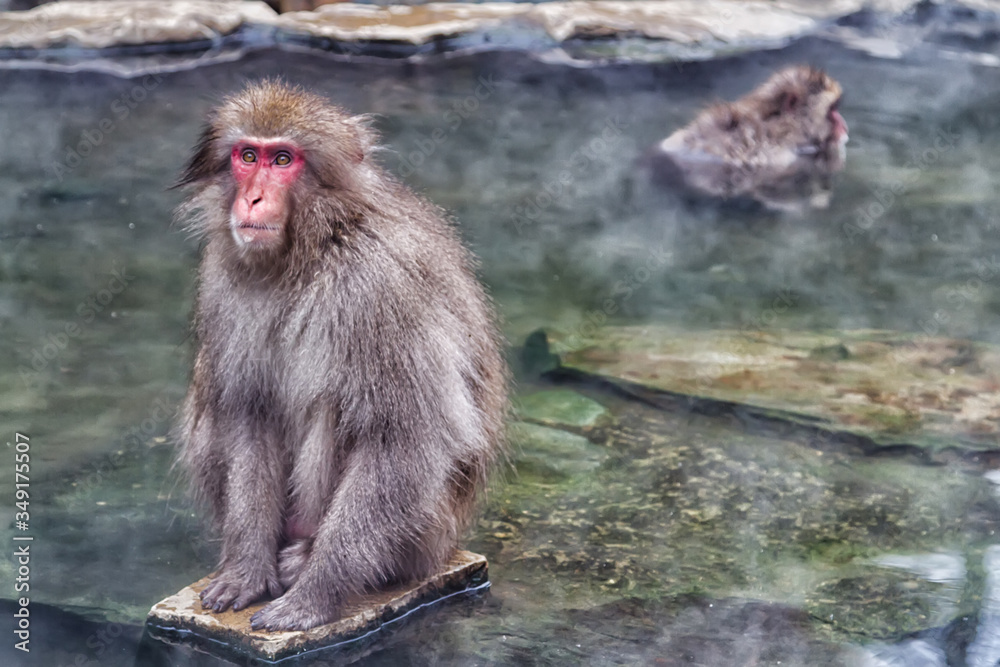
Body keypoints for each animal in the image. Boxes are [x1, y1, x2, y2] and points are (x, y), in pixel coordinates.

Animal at [173, 80, 508, 632]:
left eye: (283, 159)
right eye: (248, 156)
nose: (253, 197)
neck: (309, 248)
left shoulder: (377, 284)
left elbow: (401, 440)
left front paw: (315, 595)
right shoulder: (222, 279)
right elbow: (248, 414)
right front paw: (247, 570)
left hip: (428, 535)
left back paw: (309, 558)